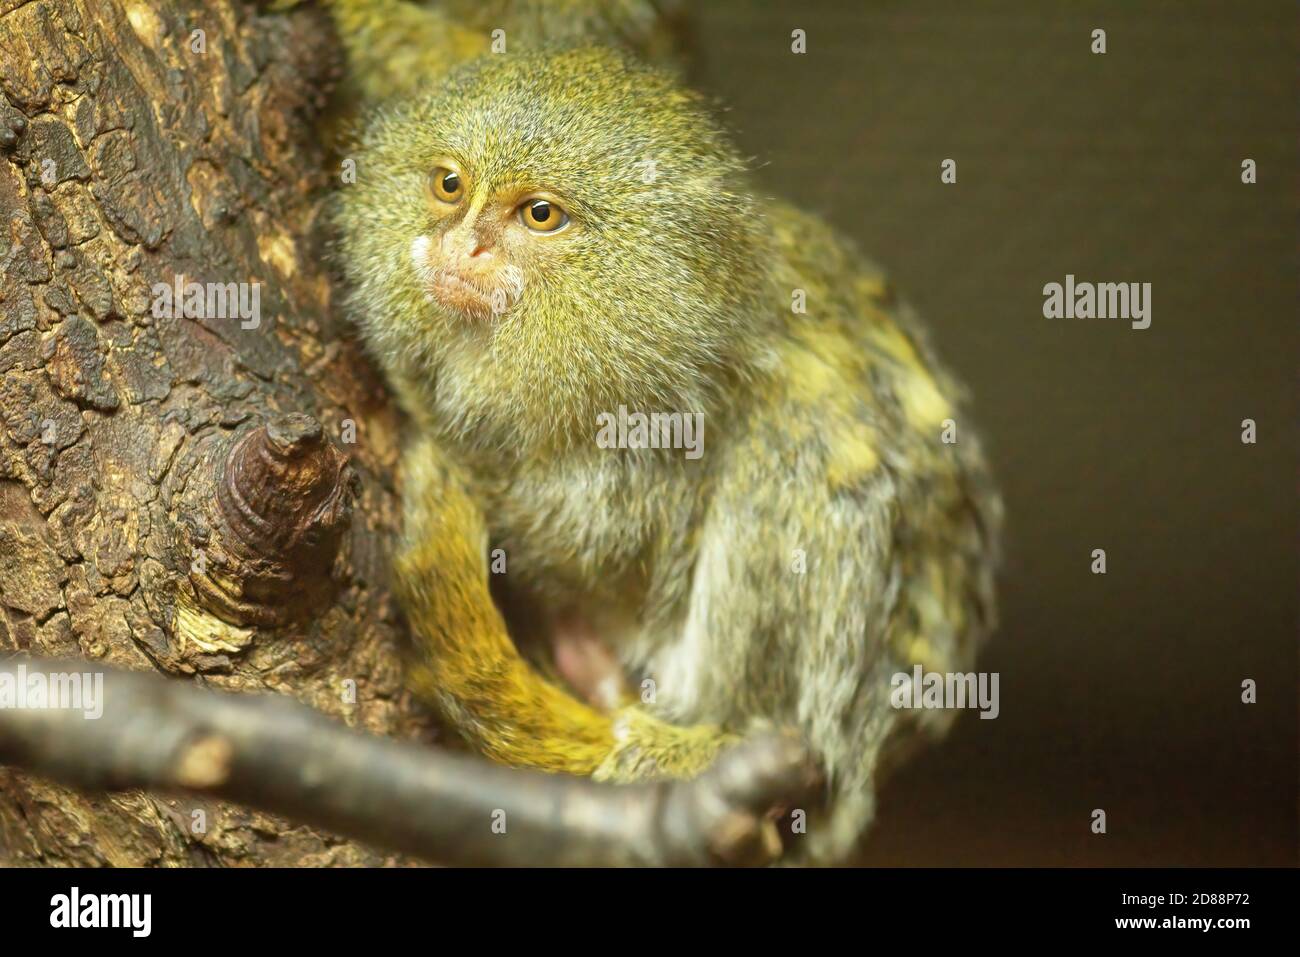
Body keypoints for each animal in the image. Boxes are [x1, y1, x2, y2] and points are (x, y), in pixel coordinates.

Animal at [326, 4, 1001, 863]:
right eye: (450, 185)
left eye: (539, 215)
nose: (459, 245)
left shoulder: (656, 435)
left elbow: (584, 541)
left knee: (804, 451)